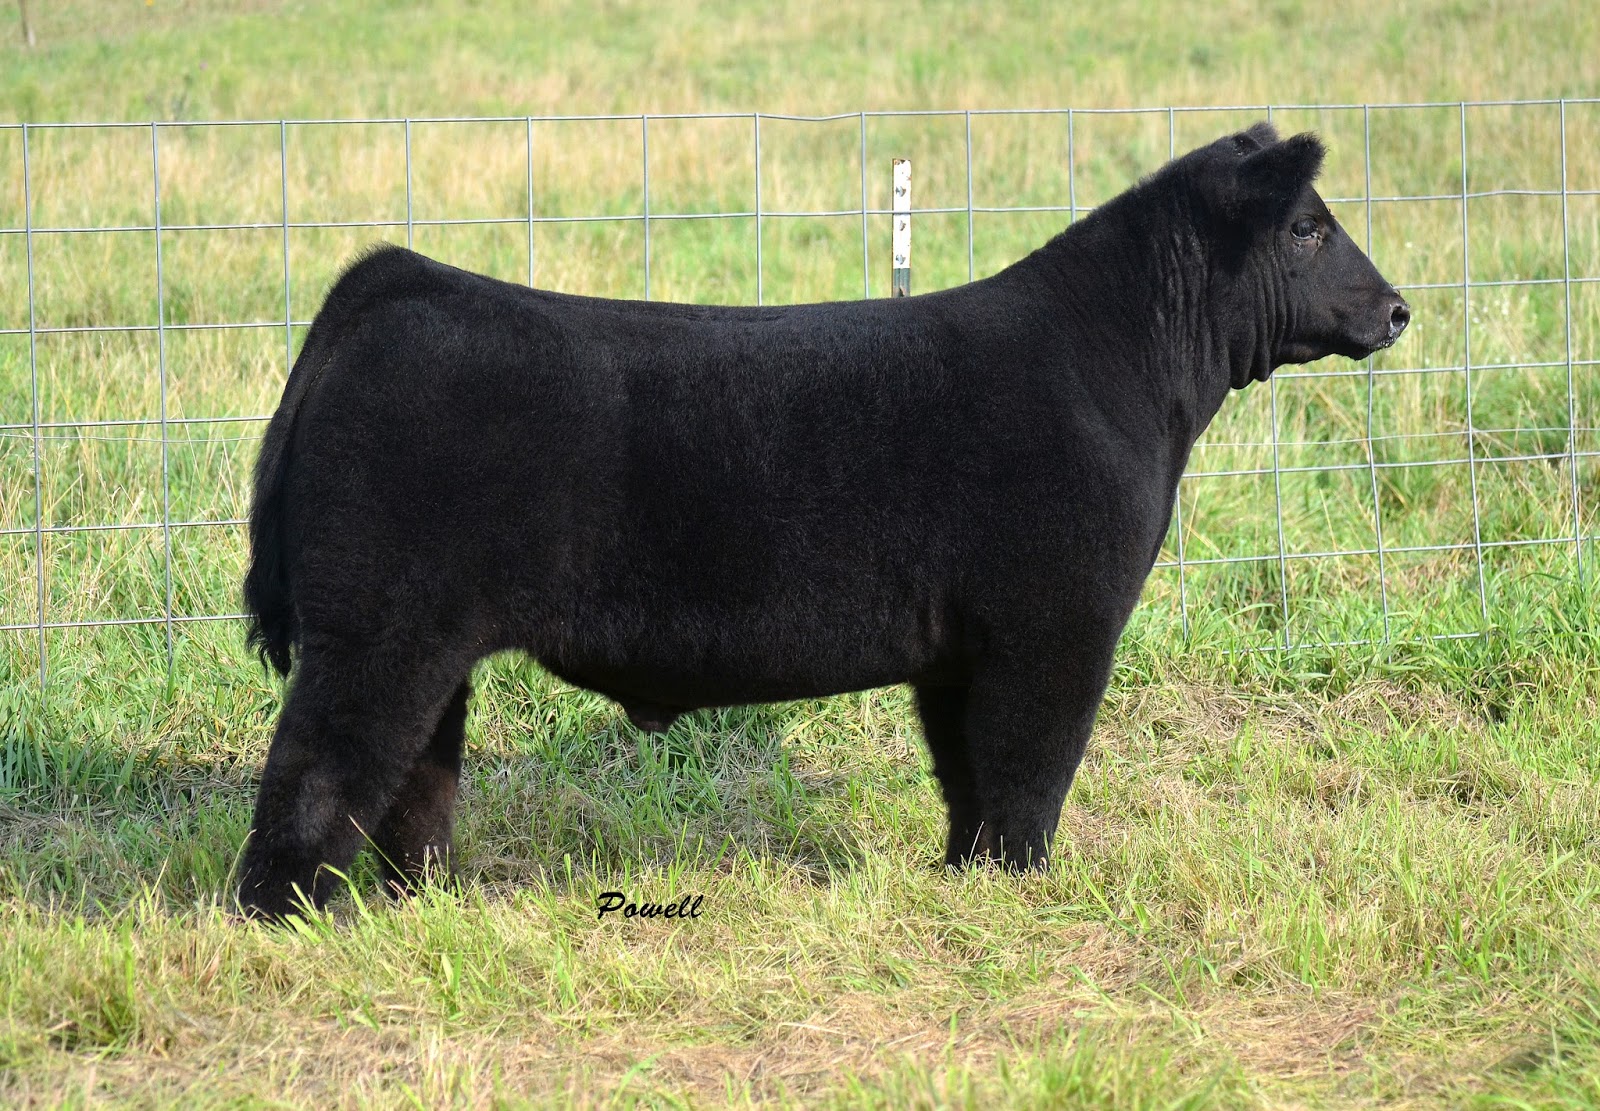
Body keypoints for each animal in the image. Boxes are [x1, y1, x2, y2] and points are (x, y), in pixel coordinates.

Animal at [236, 123, 1409, 921]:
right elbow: (1031, 769)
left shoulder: (961, 647)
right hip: (377, 633)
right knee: (318, 768)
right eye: (1308, 227)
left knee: (411, 778)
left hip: (431, 644)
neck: (1117, 367)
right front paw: (1024, 887)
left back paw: (422, 898)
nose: (1398, 308)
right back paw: (285, 919)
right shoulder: (1057, 628)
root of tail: (400, 280)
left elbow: (969, 775)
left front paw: (968, 878)